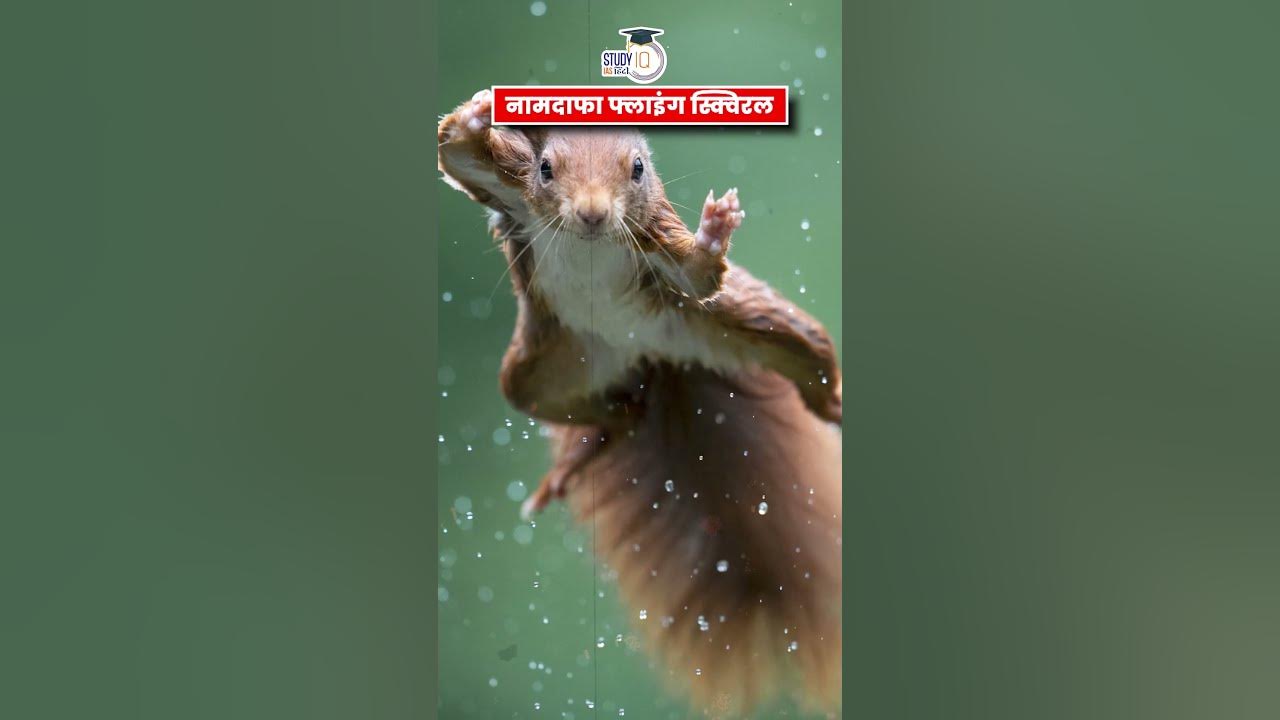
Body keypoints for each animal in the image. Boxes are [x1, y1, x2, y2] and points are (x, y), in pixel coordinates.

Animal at [438, 89, 842, 716]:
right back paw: (575, 463)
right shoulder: (511, 190)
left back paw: (840, 406)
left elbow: (699, 276)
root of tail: (651, 355)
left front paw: (714, 231)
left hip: (755, 325)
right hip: (542, 369)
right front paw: (480, 113)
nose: (592, 214)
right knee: (615, 413)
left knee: (815, 368)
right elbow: (455, 150)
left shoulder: (655, 240)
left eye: (637, 169)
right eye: (546, 168)